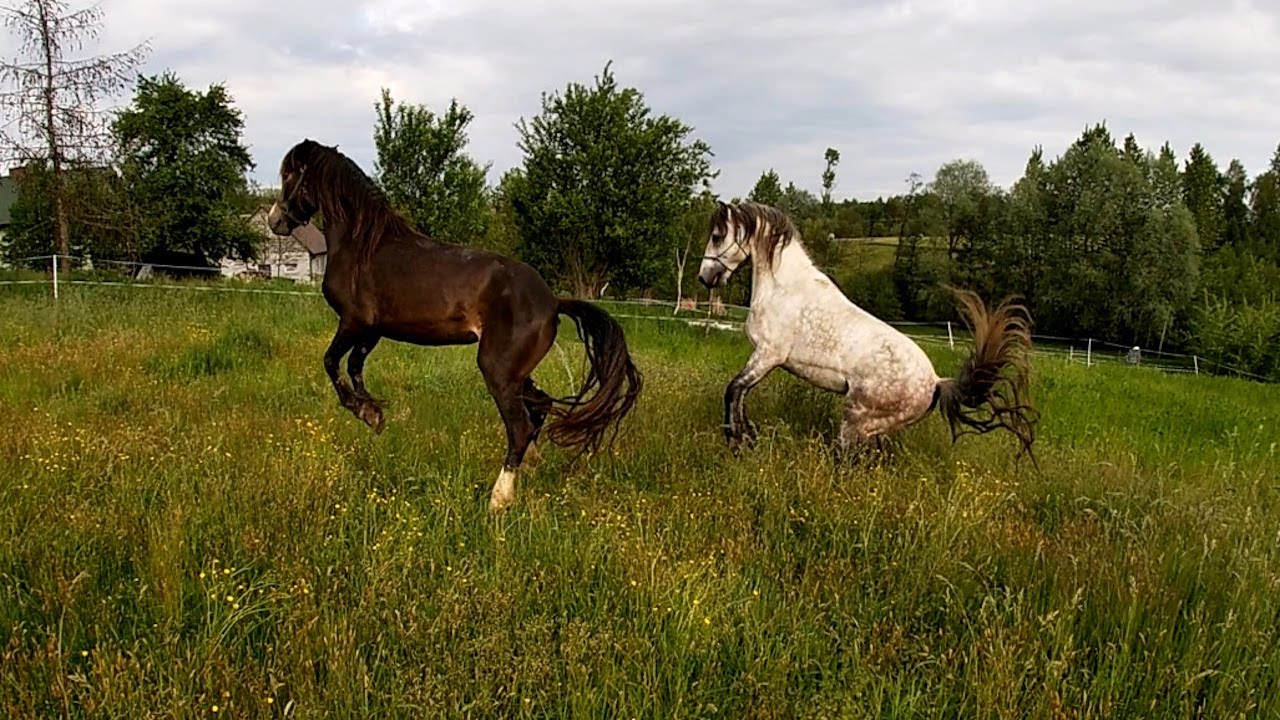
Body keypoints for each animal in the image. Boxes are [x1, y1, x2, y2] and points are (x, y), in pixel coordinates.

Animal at [266, 139, 643, 511]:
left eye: (289, 174)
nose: (275, 221)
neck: (362, 247)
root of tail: (552, 301)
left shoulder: (353, 322)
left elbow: (332, 362)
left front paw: (364, 411)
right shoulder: (371, 330)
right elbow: (355, 366)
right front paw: (373, 413)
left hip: (497, 369)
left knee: (520, 426)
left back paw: (499, 499)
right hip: (516, 373)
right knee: (540, 405)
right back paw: (531, 466)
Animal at [696, 201, 1038, 462]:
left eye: (717, 235)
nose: (704, 278)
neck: (784, 286)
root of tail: (935, 383)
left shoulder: (768, 354)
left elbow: (734, 390)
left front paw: (738, 440)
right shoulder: (766, 358)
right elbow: (740, 393)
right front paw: (747, 437)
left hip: (856, 419)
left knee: (847, 459)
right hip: (875, 428)